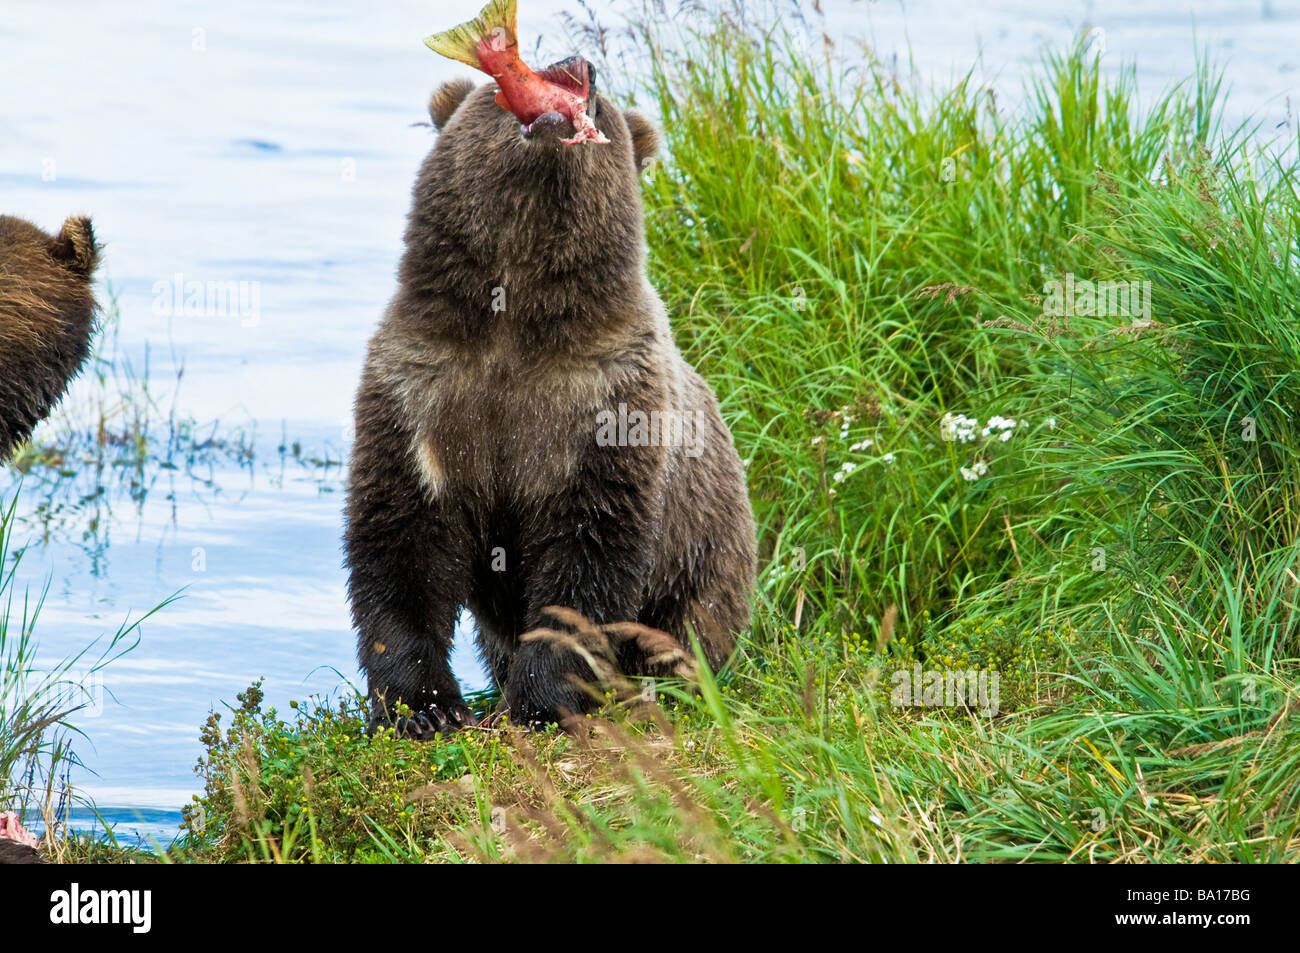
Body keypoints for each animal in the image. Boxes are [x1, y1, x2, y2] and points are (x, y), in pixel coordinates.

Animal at [344, 66, 757, 734]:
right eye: (493, 90)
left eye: (603, 108)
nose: (574, 69)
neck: (514, 321)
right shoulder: (418, 389)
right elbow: (401, 541)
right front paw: (424, 706)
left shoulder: (608, 403)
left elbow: (588, 551)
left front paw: (543, 699)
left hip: (705, 557)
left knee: (690, 626)